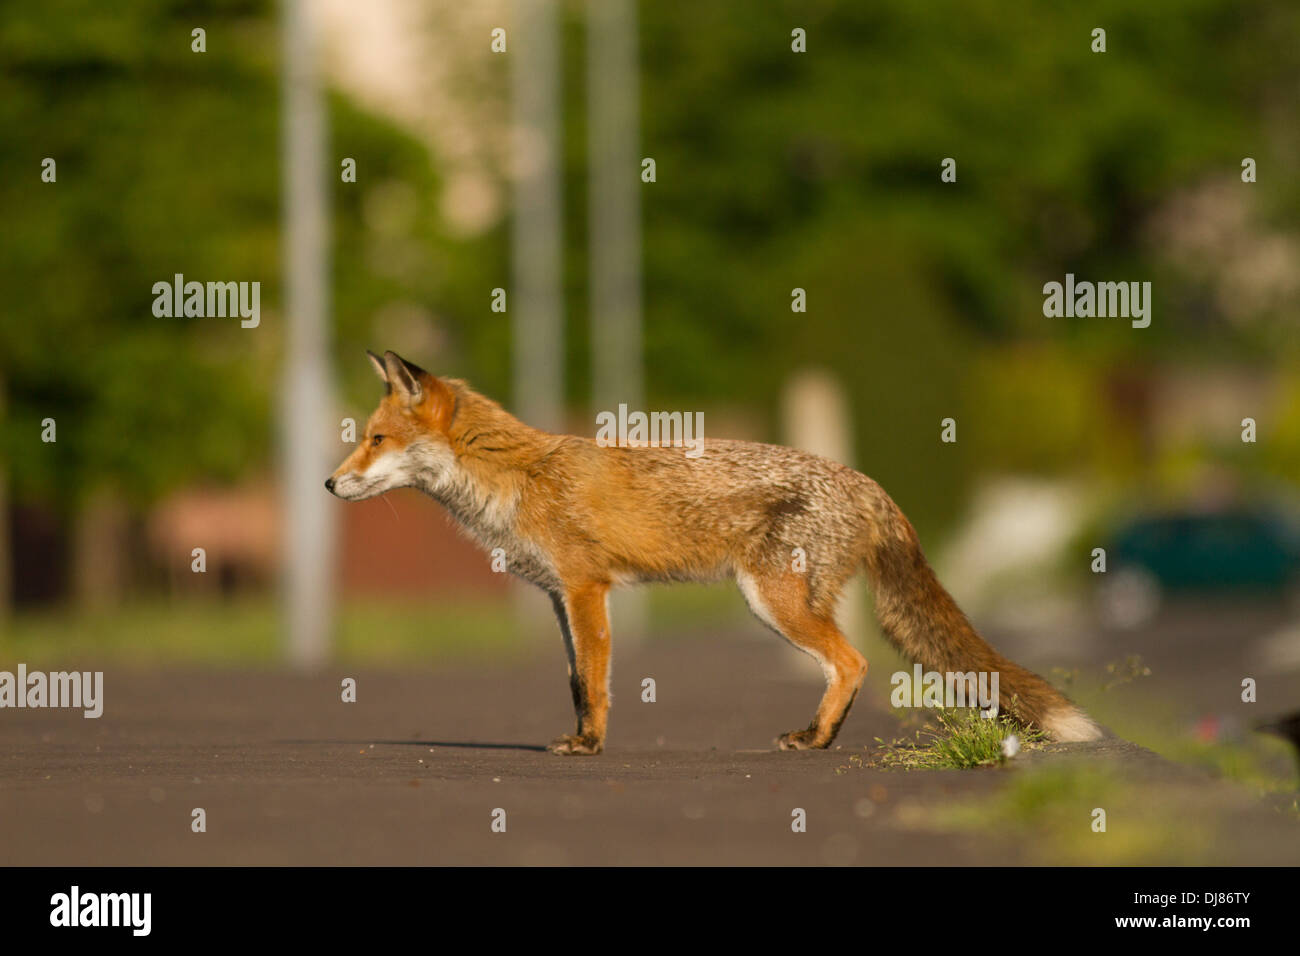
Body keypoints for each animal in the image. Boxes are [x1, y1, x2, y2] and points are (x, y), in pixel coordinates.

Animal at [327, 350, 1103, 755]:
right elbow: (576, 681)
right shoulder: (557, 596)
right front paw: (579, 736)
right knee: (848, 665)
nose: (329, 483)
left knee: (852, 662)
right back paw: (819, 734)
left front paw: (591, 745)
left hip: (773, 601)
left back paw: (819, 739)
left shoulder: (587, 589)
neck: (518, 477)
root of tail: (867, 480)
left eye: (375, 439)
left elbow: (597, 682)